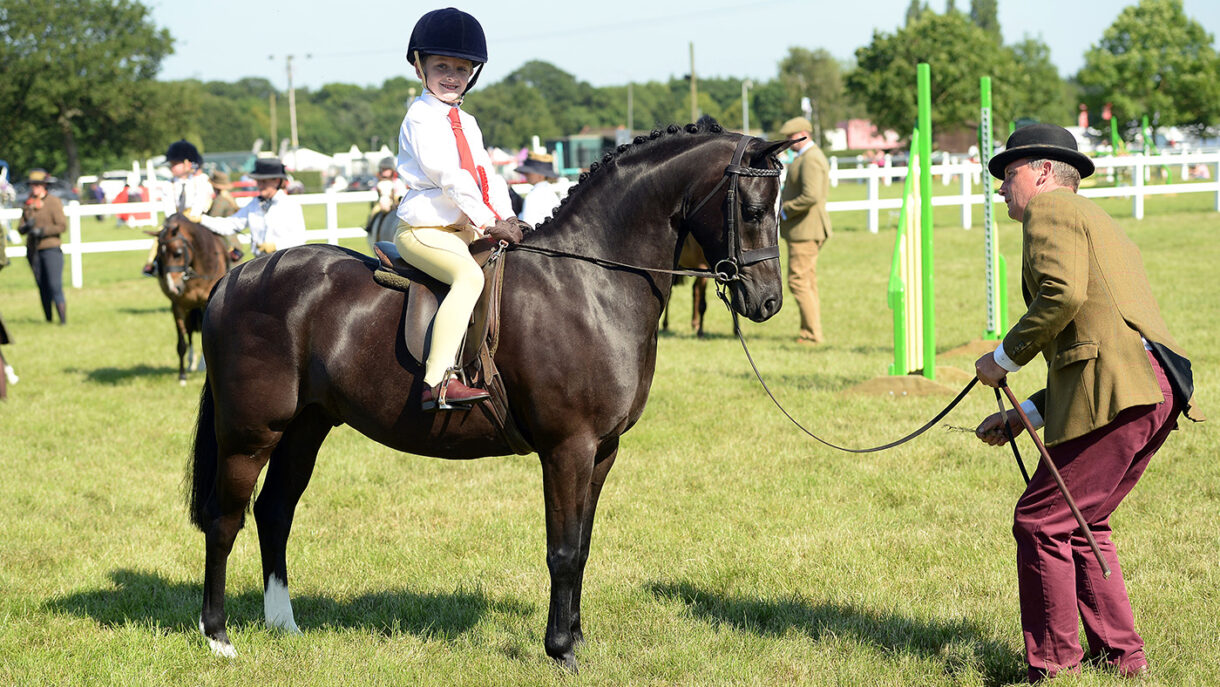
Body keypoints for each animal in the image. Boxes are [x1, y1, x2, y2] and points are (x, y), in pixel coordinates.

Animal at [148, 214, 231, 385]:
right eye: (160, 256)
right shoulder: (178, 306)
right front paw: (182, 376)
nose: (173, 287)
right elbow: (182, 343)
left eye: (178, 253)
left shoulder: (205, 304)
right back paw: (191, 362)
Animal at [186, 119, 794, 669]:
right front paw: (560, 651)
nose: (768, 303)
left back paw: (283, 624)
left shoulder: (603, 450)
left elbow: (583, 547)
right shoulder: (568, 449)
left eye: (778, 209)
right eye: (753, 210)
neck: (589, 284)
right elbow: (563, 551)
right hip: (250, 434)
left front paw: (578, 641)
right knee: (225, 520)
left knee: (275, 511)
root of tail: (237, 277)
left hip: (306, 426)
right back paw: (218, 638)